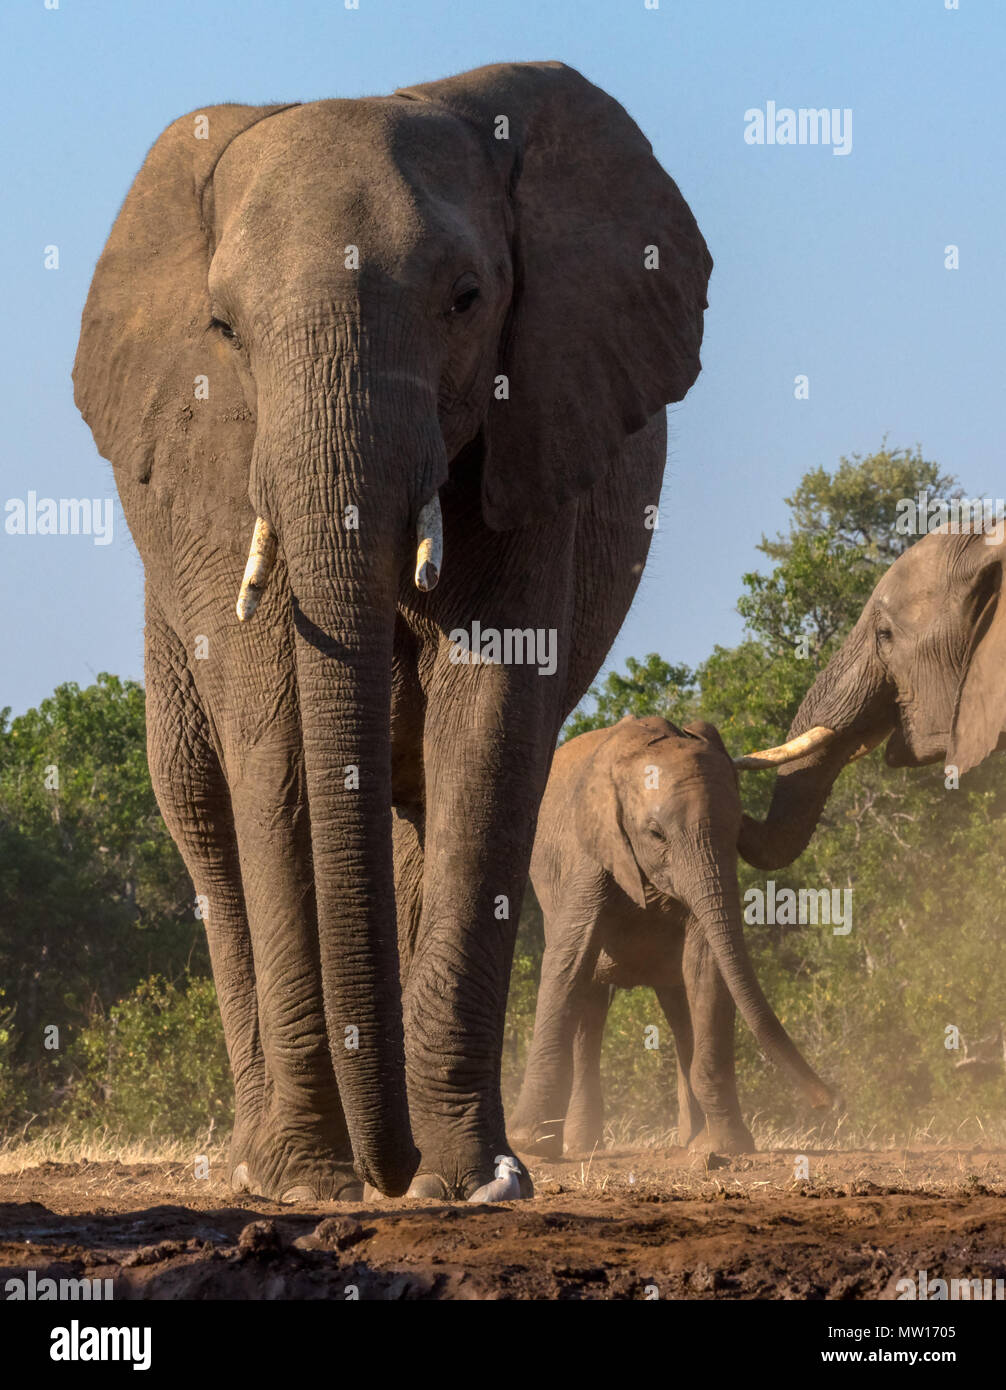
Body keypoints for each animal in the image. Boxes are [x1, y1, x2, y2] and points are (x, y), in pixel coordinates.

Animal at [72, 62, 712, 1201]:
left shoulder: (532, 427)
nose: (389, 1169)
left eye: (466, 300)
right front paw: (307, 1181)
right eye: (223, 330)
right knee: (202, 813)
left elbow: (487, 728)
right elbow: (272, 740)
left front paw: (474, 1179)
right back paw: (264, 1156)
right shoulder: (211, 469)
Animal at [508, 717, 833, 1158]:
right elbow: (568, 961)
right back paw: (580, 1147)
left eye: (737, 828)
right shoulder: (589, 855)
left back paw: (691, 1140)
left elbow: (707, 965)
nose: (830, 1101)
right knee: (591, 1000)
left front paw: (729, 1146)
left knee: (678, 1006)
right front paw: (530, 1144)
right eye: (656, 834)